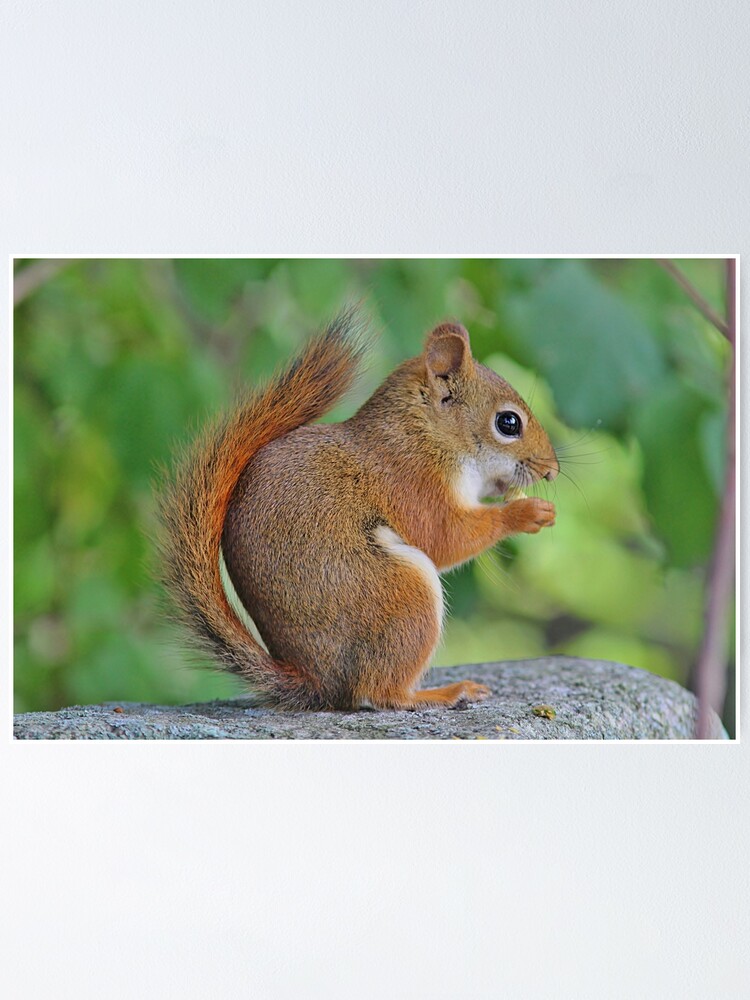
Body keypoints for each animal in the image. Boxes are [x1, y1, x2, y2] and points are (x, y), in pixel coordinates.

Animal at [158, 311, 558, 711]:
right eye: (508, 423)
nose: (552, 471)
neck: (424, 435)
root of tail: (317, 680)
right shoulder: (412, 484)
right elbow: (443, 536)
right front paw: (526, 512)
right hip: (403, 594)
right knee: (380, 691)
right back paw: (442, 692)